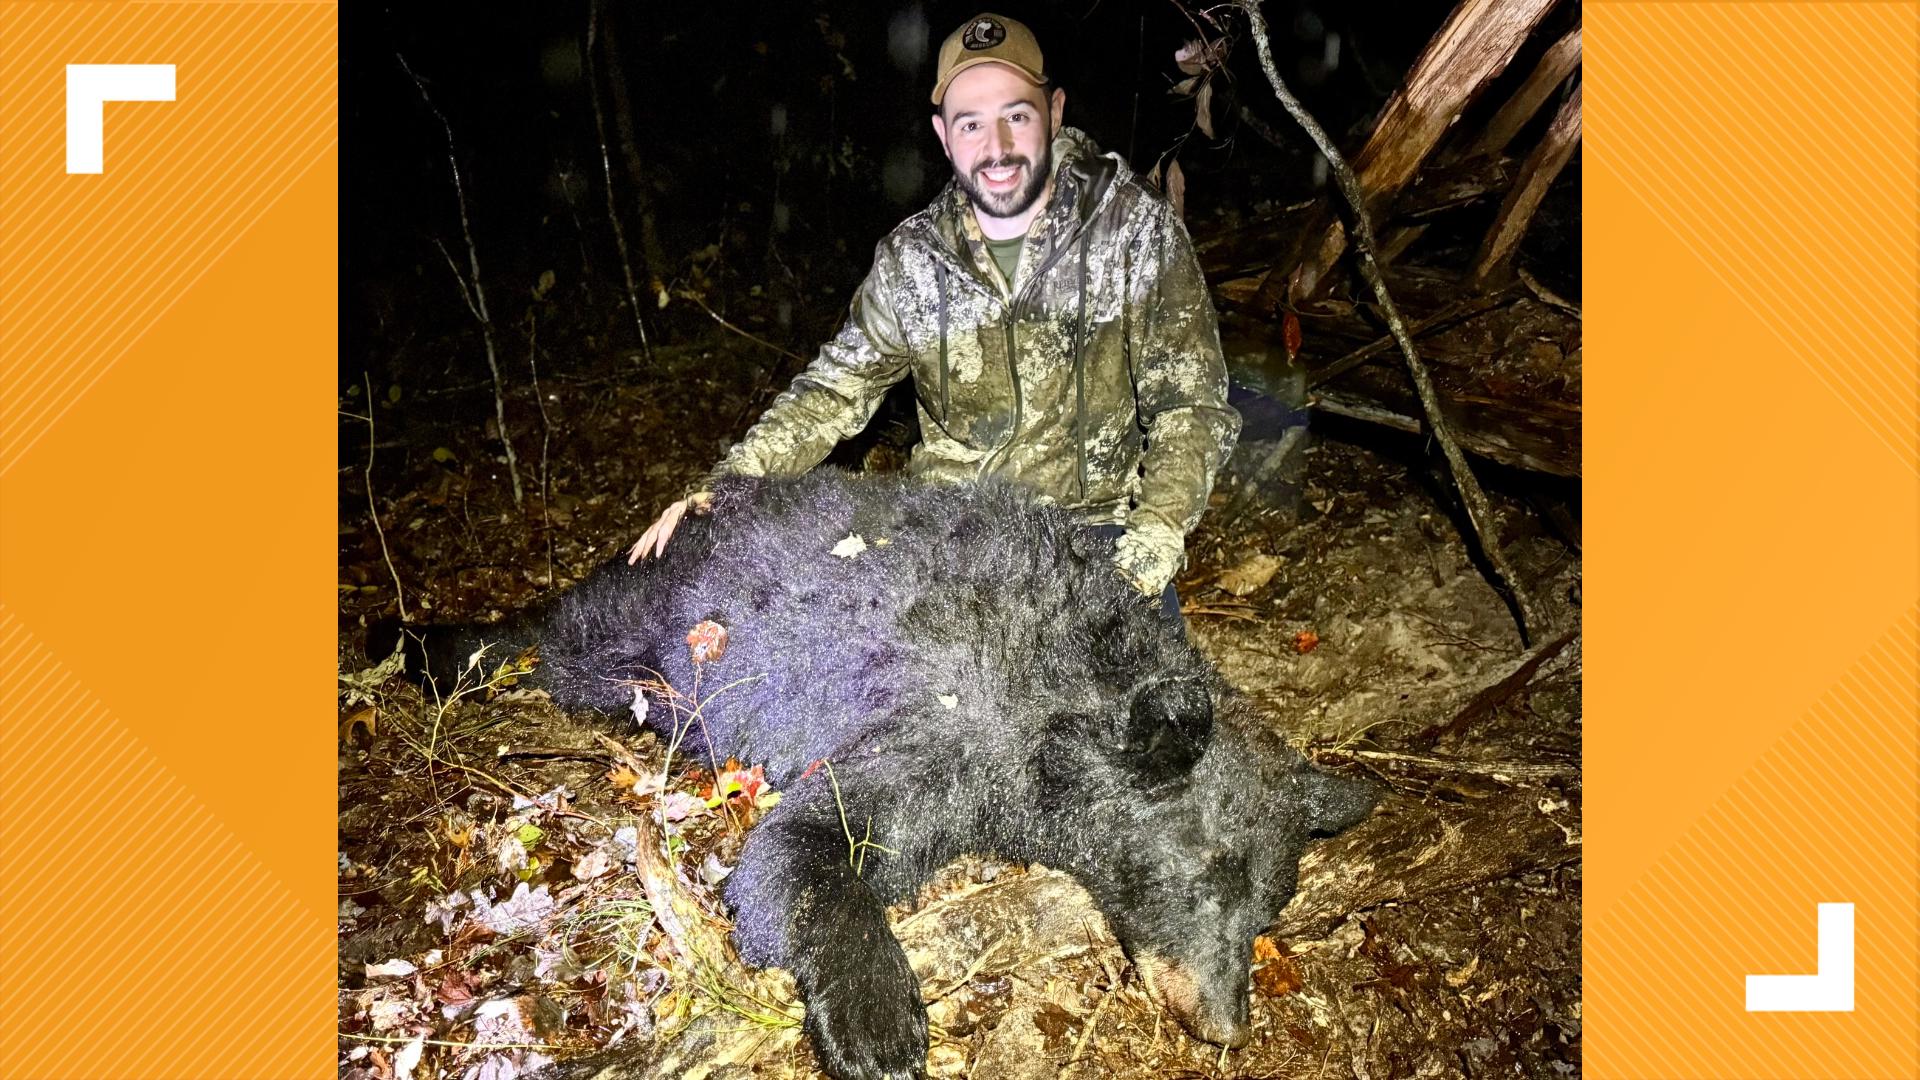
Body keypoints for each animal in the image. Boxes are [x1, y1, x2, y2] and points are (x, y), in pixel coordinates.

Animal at [383, 470, 1375, 1080]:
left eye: (1269, 905)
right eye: (1202, 876)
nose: (1227, 1026)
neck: (1059, 698)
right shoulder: (942, 726)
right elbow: (803, 842)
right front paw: (876, 1019)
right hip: (639, 621)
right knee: (553, 638)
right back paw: (431, 645)